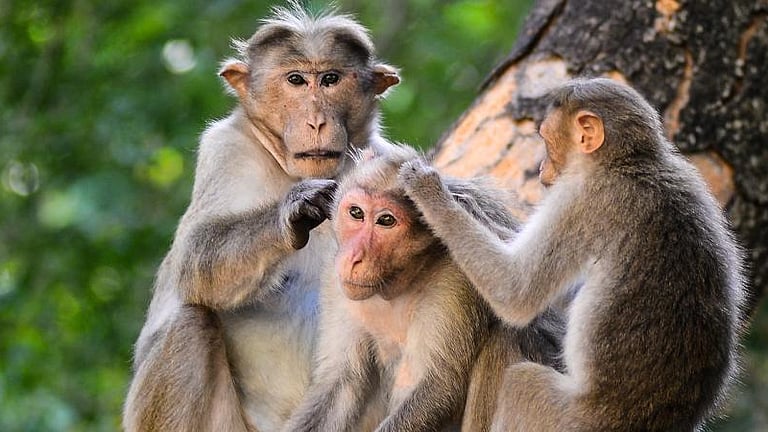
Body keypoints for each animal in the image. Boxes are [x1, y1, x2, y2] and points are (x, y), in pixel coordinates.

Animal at [123, 5, 401, 432]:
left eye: (331, 79)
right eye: (296, 80)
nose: (316, 121)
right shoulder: (226, 149)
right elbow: (195, 259)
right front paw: (295, 210)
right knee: (190, 324)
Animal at [282, 144, 565, 432]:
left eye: (386, 220)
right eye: (356, 213)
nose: (353, 258)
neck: (396, 283)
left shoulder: (455, 282)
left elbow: (439, 385)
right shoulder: (336, 283)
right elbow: (341, 383)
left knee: (504, 337)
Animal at [398, 77, 747, 431]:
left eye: (546, 140)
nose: (541, 169)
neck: (629, 163)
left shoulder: (580, 198)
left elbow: (516, 292)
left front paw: (433, 195)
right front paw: (466, 202)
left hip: (561, 417)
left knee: (519, 380)